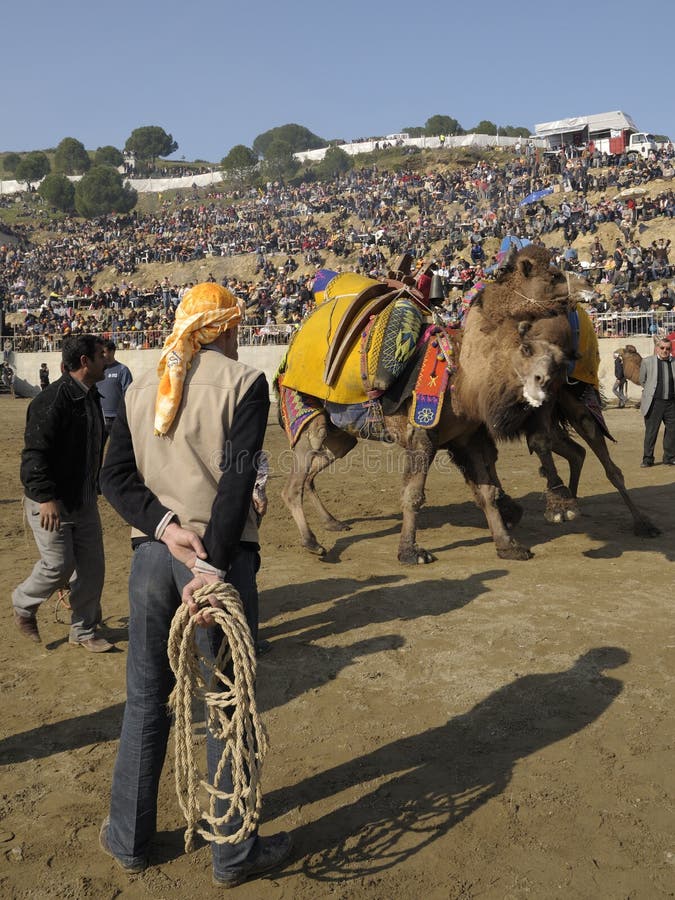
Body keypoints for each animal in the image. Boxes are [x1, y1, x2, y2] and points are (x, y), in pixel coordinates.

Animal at [277, 246, 576, 564]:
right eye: (554, 275)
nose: (582, 290)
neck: (461, 372)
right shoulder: (422, 430)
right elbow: (413, 494)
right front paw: (410, 551)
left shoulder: (469, 437)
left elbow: (487, 492)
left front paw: (508, 545)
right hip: (305, 412)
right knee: (293, 484)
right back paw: (312, 542)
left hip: (343, 434)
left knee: (316, 468)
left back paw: (332, 522)